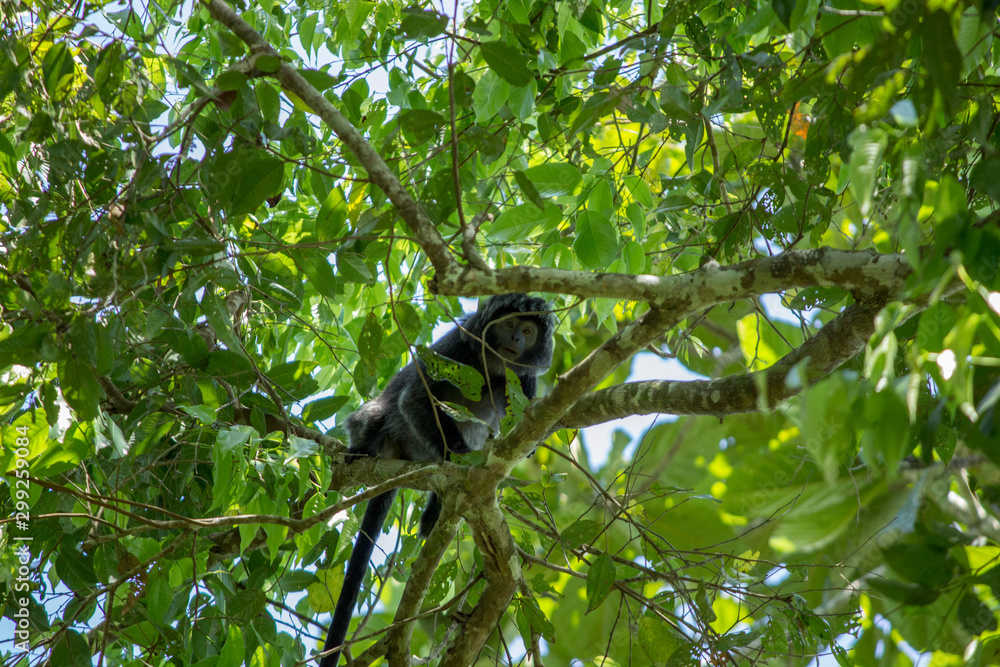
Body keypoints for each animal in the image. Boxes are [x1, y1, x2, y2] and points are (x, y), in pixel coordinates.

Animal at [319, 293, 556, 667]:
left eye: (528, 330)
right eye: (508, 323)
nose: (516, 338)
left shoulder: (525, 381)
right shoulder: (455, 348)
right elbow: (415, 397)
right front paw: (457, 452)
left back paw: (434, 511)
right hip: (382, 428)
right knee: (379, 413)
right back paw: (366, 448)